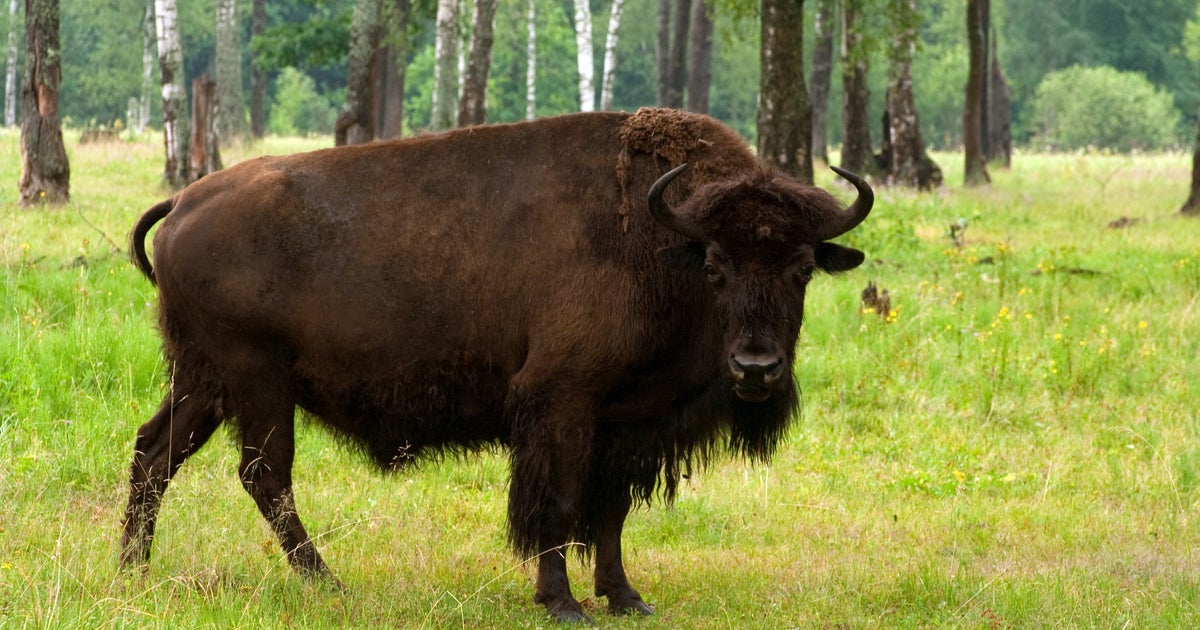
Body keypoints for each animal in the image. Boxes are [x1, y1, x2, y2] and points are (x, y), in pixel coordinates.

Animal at [120, 107, 872, 623]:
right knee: (264, 475)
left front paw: (625, 597)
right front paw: (562, 603)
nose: (756, 368)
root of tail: (185, 201)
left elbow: (610, 512)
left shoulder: (627, 423)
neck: (665, 242)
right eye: (716, 264)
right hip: (257, 381)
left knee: (156, 451)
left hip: (203, 381)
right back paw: (327, 582)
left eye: (802, 267)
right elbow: (557, 504)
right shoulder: (561, 401)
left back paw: (134, 572)